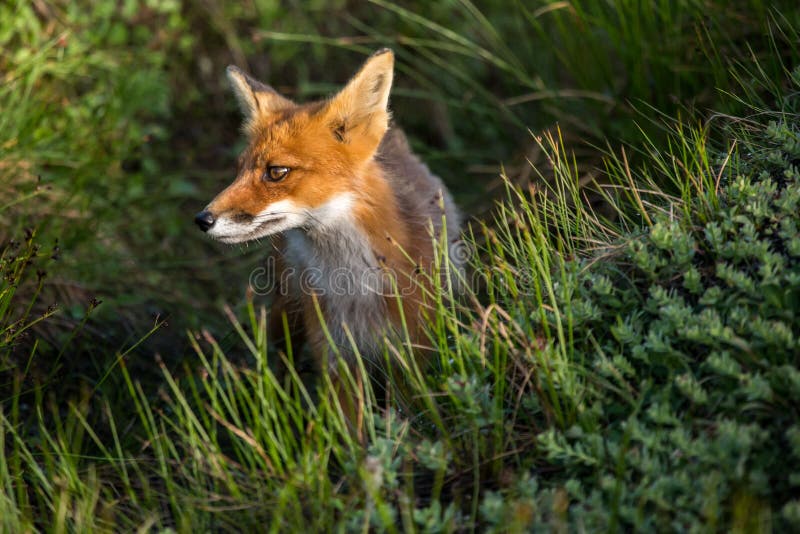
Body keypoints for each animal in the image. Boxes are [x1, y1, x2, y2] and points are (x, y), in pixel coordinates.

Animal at [194, 49, 460, 411]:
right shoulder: (337, 357)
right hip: (286, 318)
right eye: (239, 171)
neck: (355, 286)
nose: (202, 219)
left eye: (277, 172)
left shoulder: (411, 354)